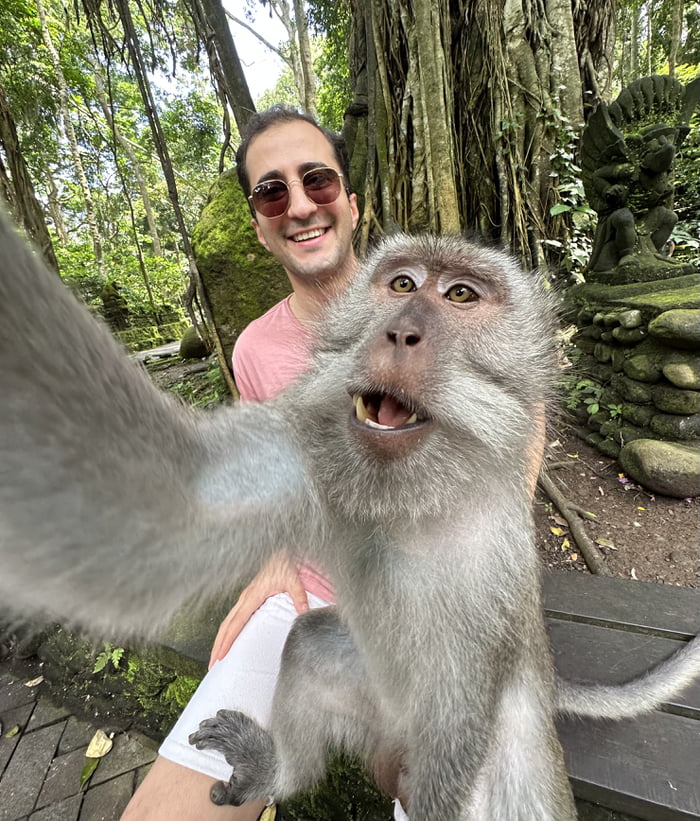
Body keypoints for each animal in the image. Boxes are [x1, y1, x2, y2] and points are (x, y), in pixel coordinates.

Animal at [0, 208, 698, 820]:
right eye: (402, 284)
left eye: (461, 295)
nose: (400, 331)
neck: (408, 498)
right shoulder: (313, 457)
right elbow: (165, 506)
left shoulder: (485, 572)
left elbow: (457, 718)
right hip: (370, 699)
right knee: (310, 641)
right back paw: (274, 772)